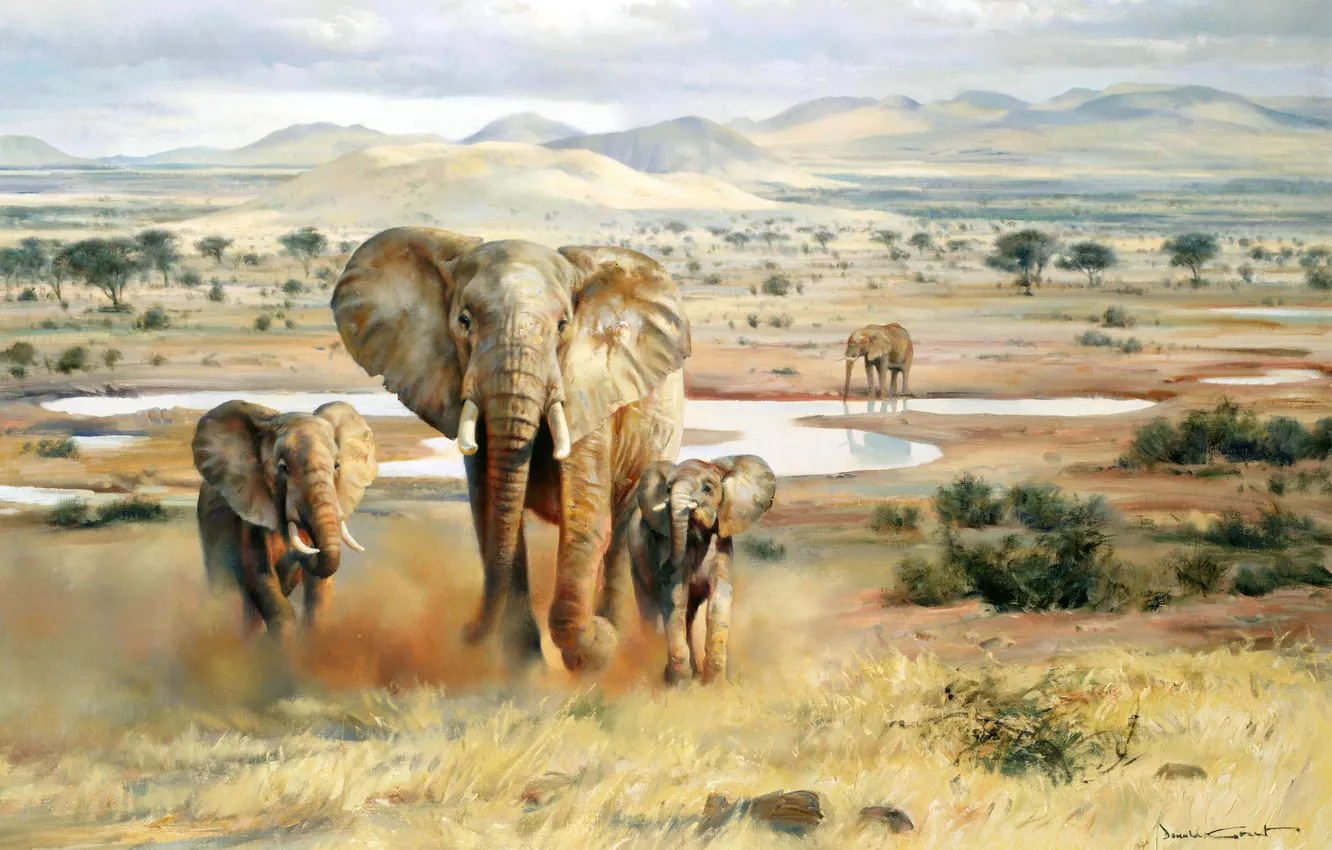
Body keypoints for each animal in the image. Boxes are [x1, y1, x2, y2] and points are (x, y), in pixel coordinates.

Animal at [331, 227, 690, 673]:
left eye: (563, 325)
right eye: (464, 321)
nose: (465, 633)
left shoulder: (589, 387)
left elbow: (586, 515)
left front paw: (598, 644)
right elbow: (492, 511)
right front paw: (525, 665)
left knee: (623, 530)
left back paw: (619, 643)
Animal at [628, 455, 776, 685]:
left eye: (707, 488)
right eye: (668, 488)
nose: (662, 570)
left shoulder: (722, 543)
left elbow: (719, 598)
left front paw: (714, 685)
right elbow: (675, 595)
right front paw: (679, 685)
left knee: (686, 614)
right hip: (635, 553)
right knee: (649, 608)